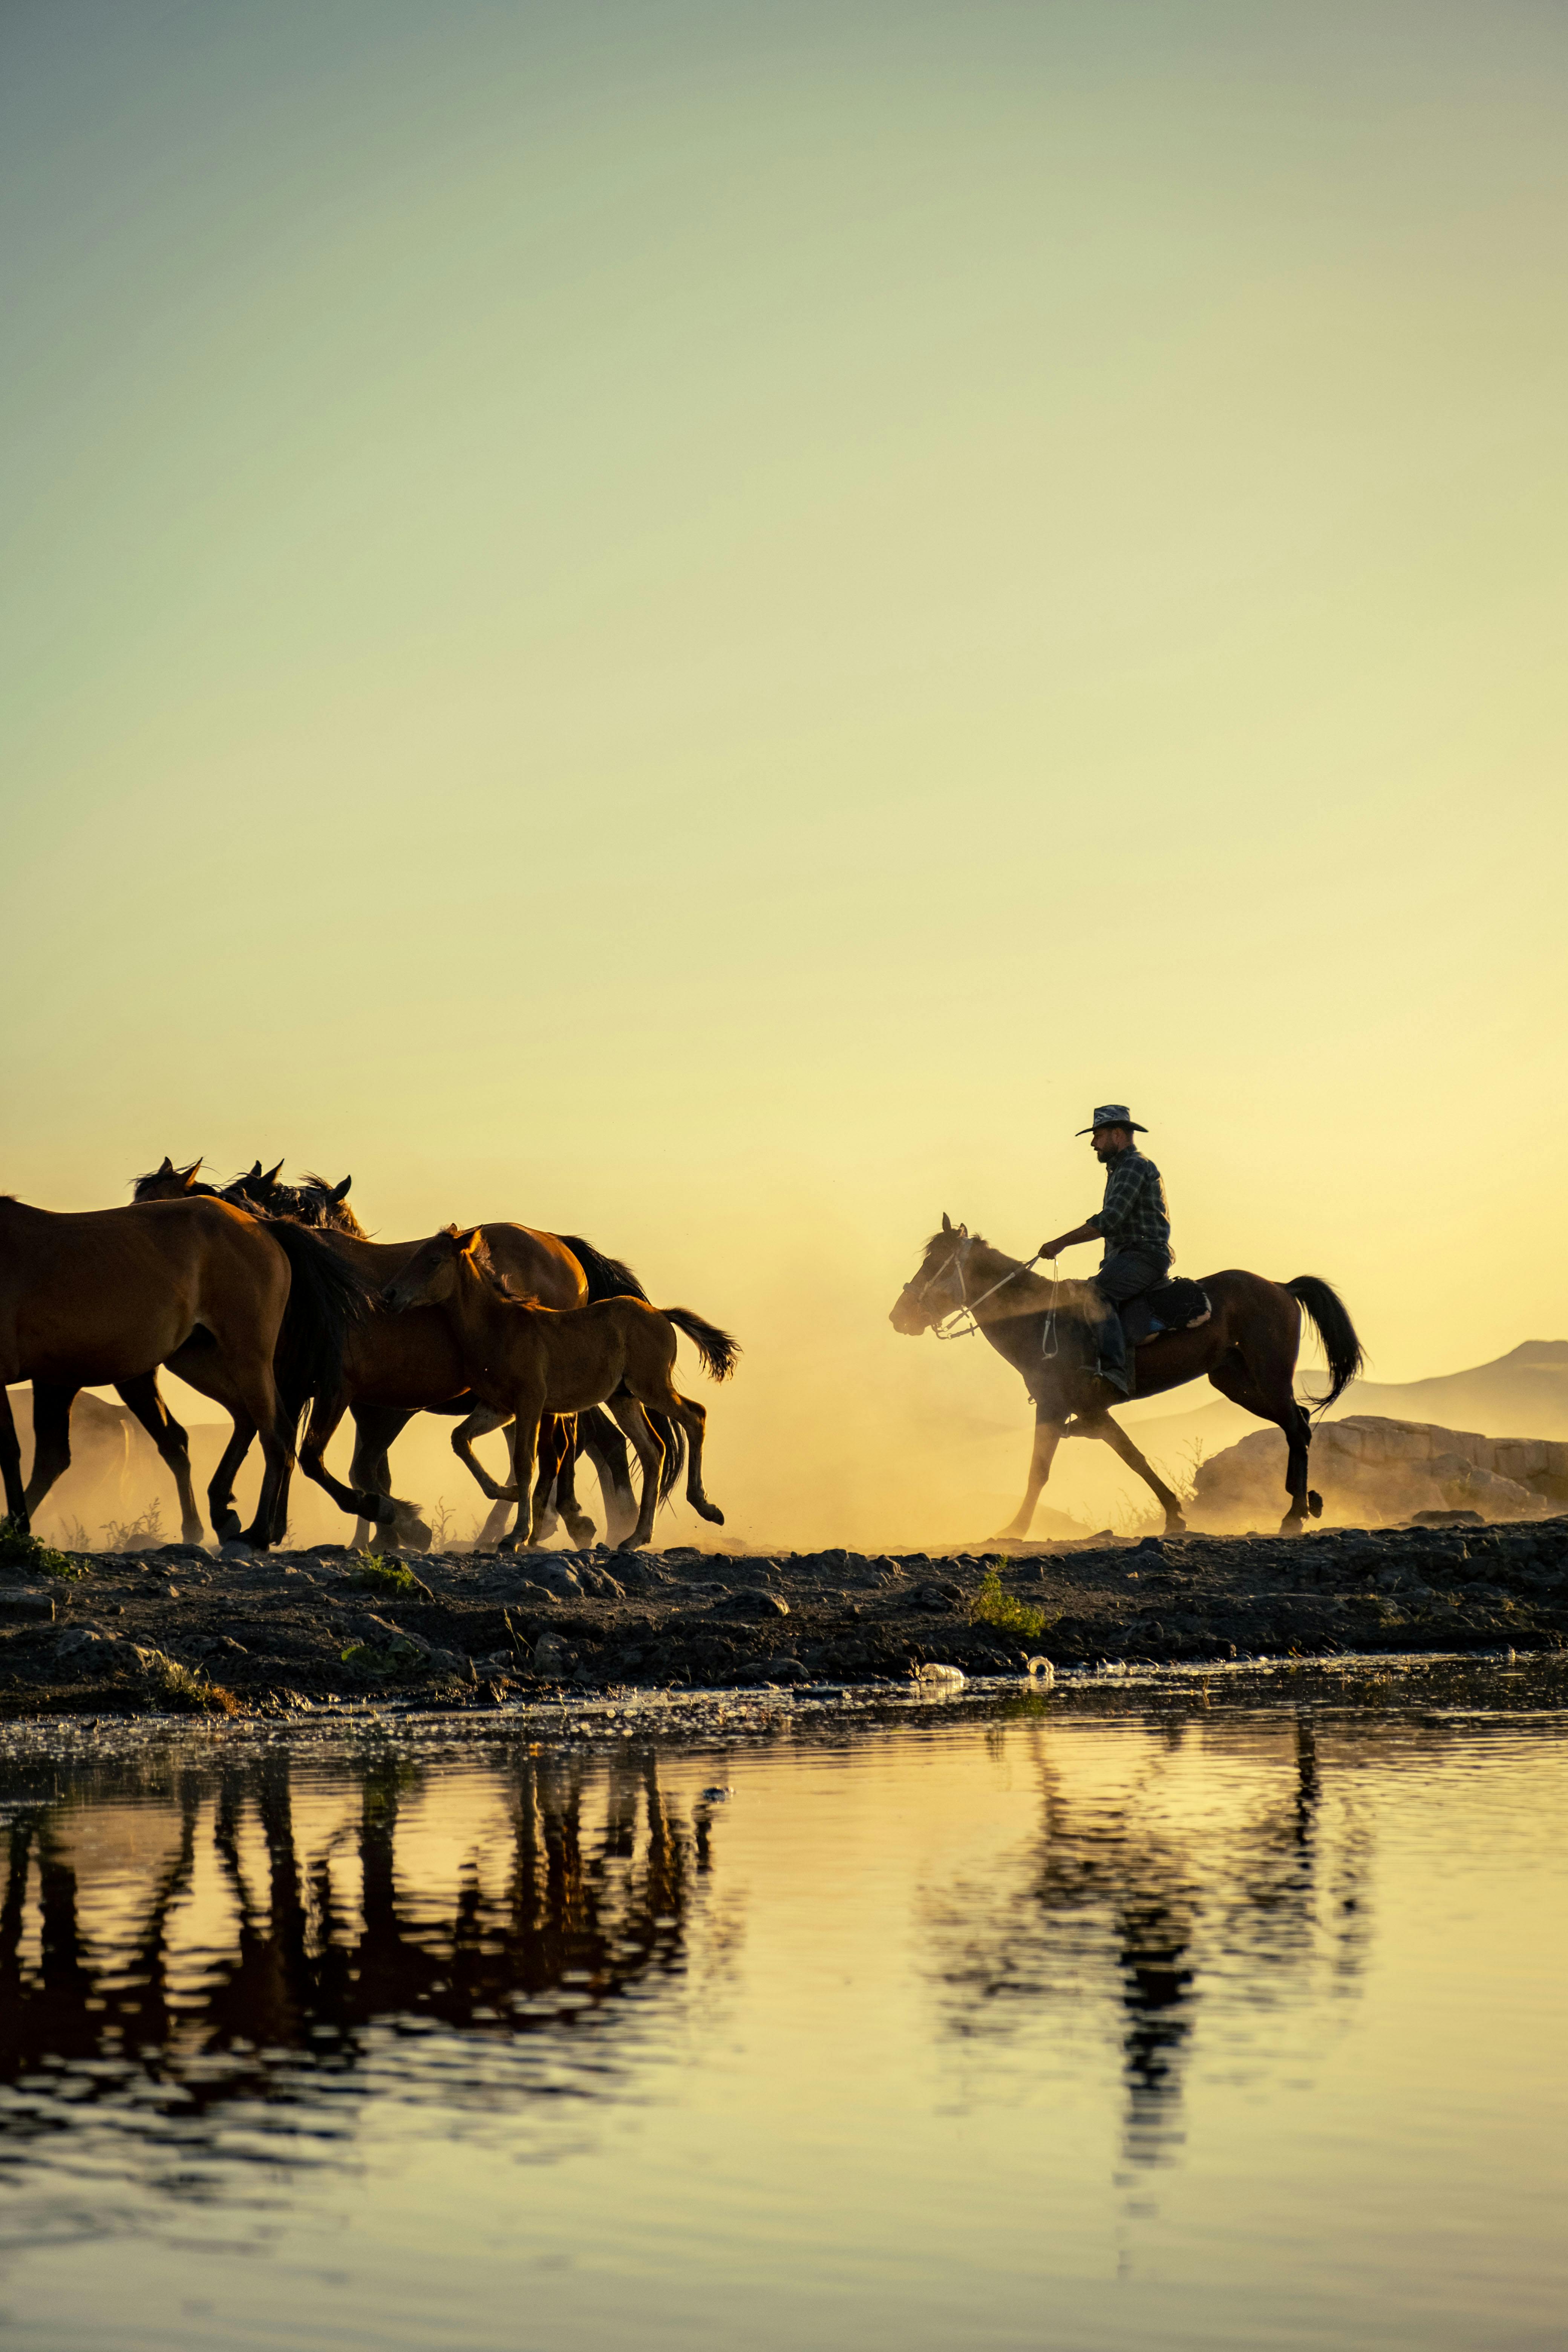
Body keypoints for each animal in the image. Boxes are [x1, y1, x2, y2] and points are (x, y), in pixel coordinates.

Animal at [0, 1195, 376, 1550]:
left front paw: (15, 1528)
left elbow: (16, 1451)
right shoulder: (55, 1378)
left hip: (246, 1357)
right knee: (243, 1419)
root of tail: (262, 1225)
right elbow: (41, 1455)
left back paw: (258, 1532)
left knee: (276, 1433)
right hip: (196, 1360)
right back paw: (228, 1516)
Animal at [379, 1226, 738, 1552]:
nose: (390, 1295)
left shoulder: (530, 1402)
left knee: (695, 1416)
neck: (499, 1325)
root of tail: (661, 1314)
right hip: (624, 1398)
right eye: (414, 1255)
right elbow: (461, 1440)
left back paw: (706, 1507)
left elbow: (525, 1462)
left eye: (434, 1260)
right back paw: (635, 1538)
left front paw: (515, 1536)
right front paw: (510, 1498)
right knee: (654, 1450)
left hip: (650, 1387)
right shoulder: (498, 1408)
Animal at [890, 1216, 1365, 1537]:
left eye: (934, 1264)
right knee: (1297, 1422)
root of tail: (1281, 1287)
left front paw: (1013, 1530)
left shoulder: (1054, 1407)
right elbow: (1133, 1457)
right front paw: (1173, 1513)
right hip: (1233, 1381)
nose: (899, 1317)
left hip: (1268, 1375)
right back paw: (1304, 1503)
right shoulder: (1092, 1413)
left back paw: (1293, 1514)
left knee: (1295, 1428)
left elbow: (1038, 1471)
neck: (1041, 1319)